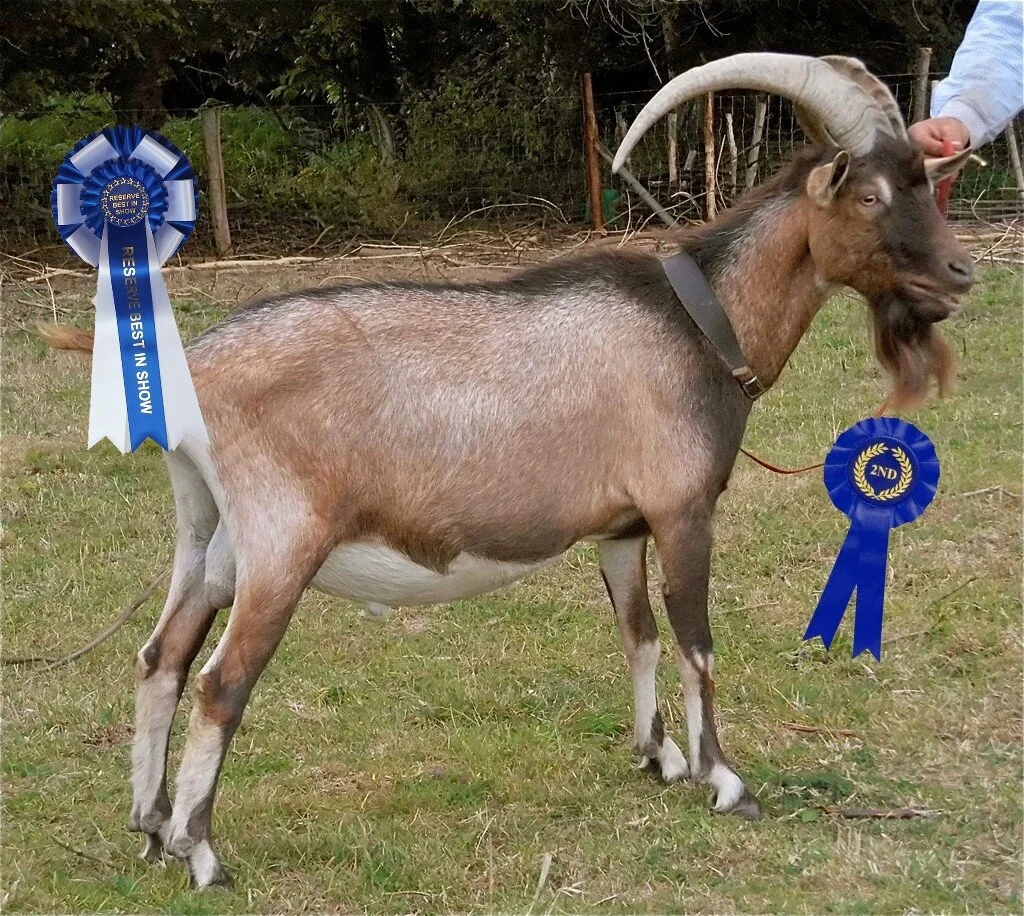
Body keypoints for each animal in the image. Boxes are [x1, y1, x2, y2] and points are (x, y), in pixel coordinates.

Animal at [45, 53, 974, 888]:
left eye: (924, 181)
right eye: (871, 194)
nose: (960, 272)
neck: (699, 323)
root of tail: (194, 370)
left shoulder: (621, 528)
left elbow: (637, 632)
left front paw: (659, 757)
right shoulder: (681, 509)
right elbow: (696, 641)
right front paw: (725, 780)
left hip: (209, 535)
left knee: (160, 656)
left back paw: (149, 825)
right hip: (281, 544)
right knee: (219, 684)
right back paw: (200, 853)